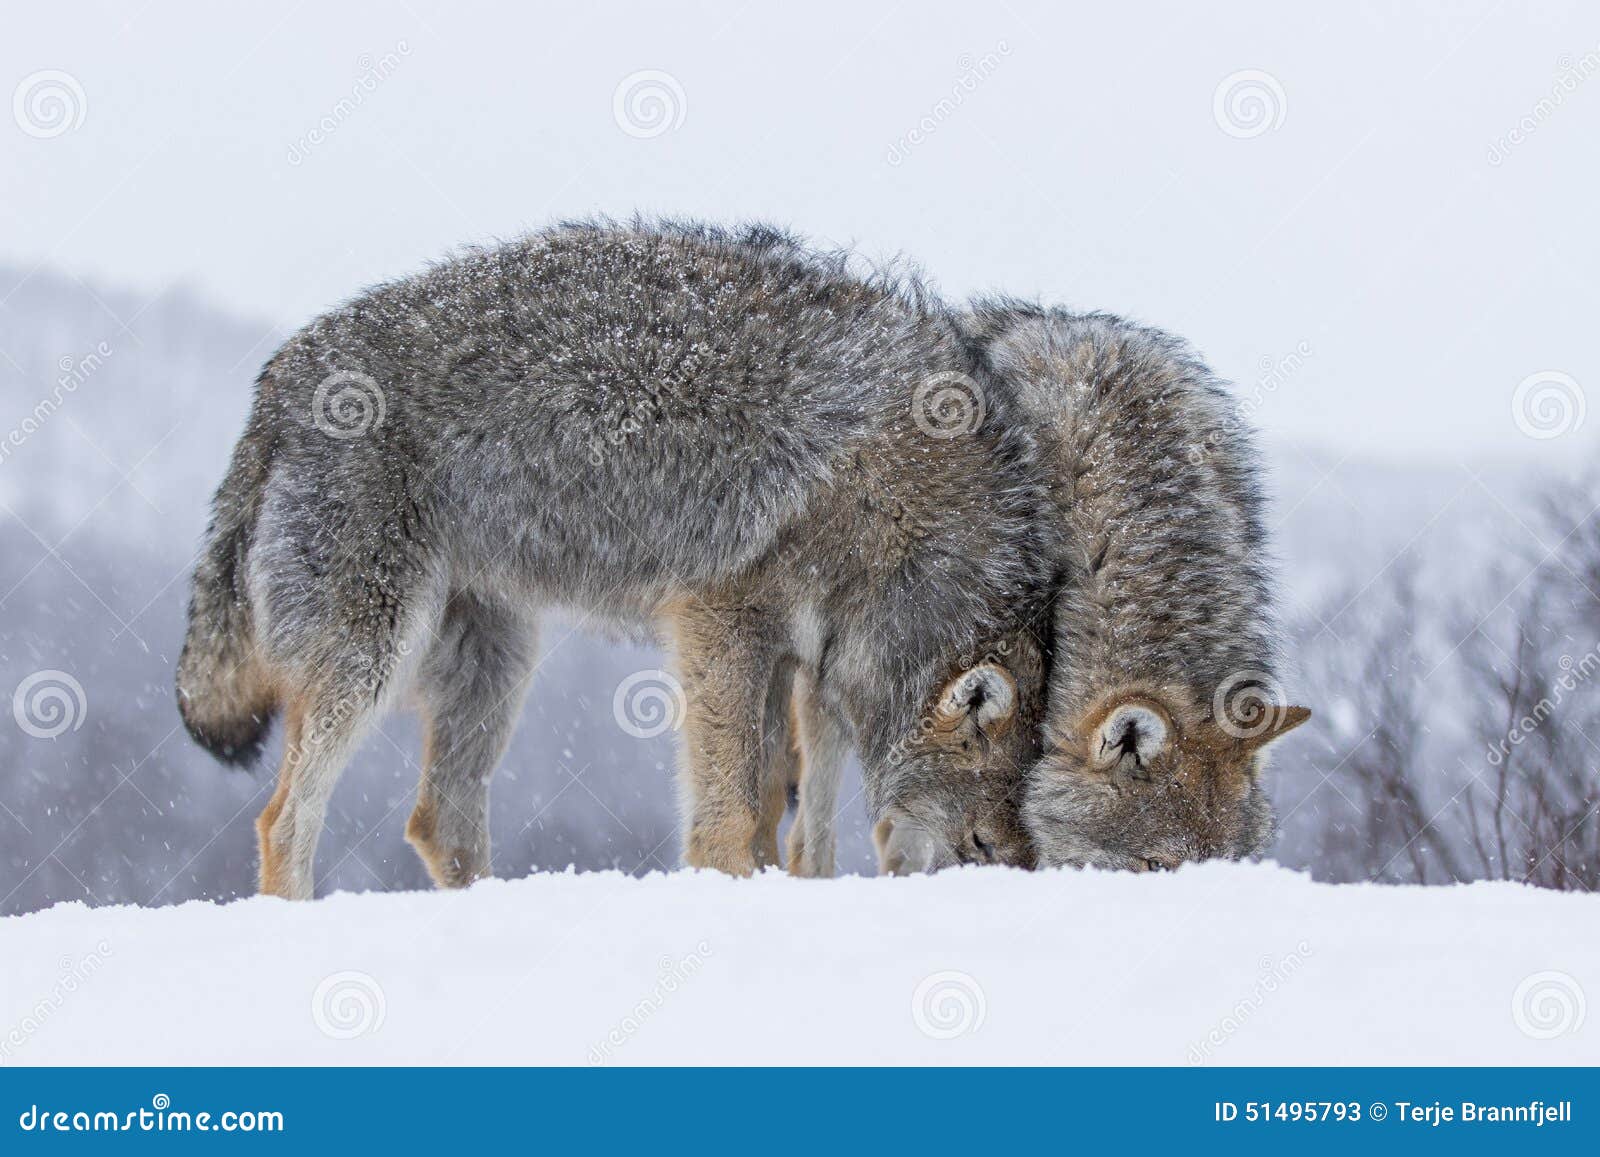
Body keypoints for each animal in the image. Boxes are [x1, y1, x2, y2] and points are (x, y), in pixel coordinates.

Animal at [176, 220, 1055, 899]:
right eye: (980, 847)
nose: (1009, 882)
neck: (898, 497)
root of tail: (281, 375)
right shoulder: (720, 622)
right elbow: (734, 813)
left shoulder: (782, 654)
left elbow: (770, 806)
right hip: (374, 655)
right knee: (283, 817)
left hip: (497, 665)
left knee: (438, 820)